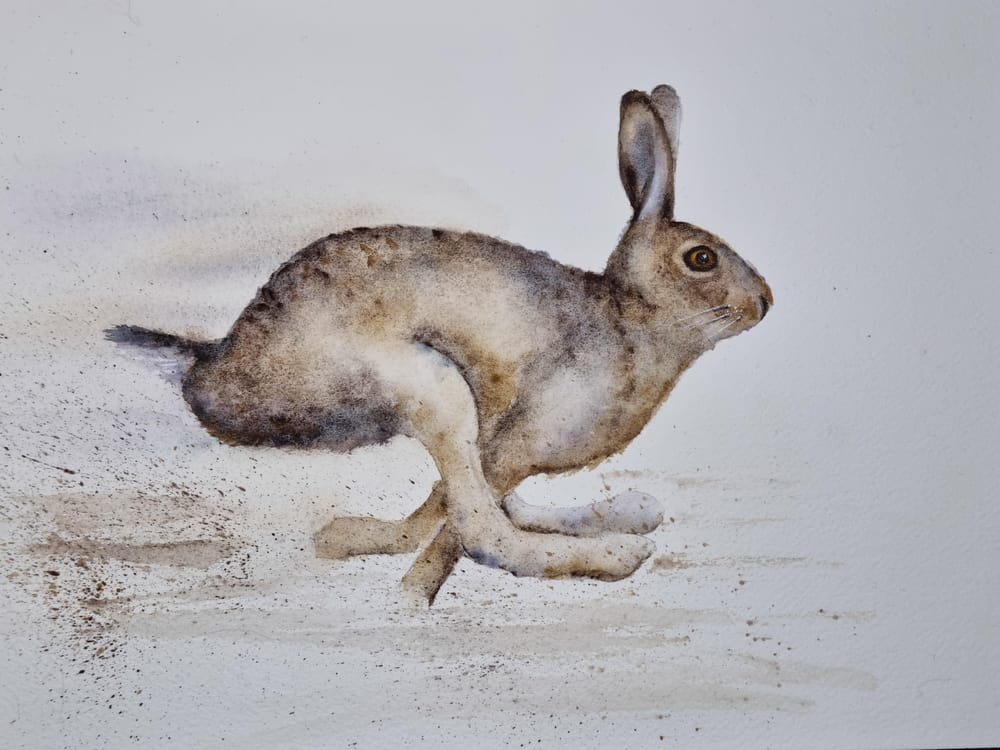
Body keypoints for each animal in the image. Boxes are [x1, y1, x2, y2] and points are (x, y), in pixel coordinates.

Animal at [108, 84, 773, 603]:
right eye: (702, 259)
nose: (766, 302)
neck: (629, 319)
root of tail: (213, 367)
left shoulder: (505, 452)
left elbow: (440, 509)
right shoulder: (510, 438)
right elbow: (453, 526)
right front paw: (411, 593)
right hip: (431, 385)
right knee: (482, 527)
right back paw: (614, 556)